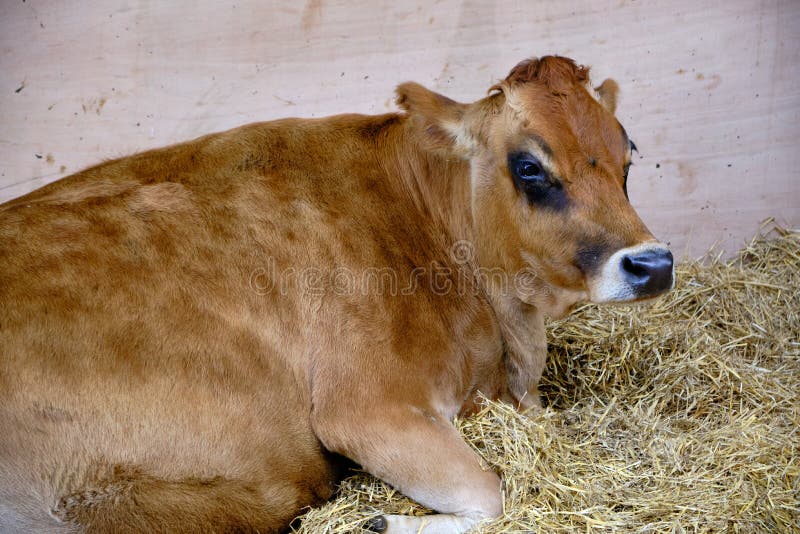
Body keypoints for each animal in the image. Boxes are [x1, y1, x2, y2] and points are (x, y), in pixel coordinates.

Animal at [0, 56, 673, 533]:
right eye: (529, 166)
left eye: (629, 151)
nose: (654, 263)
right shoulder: (367, 406)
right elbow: (491, 495)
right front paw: (385, 522)